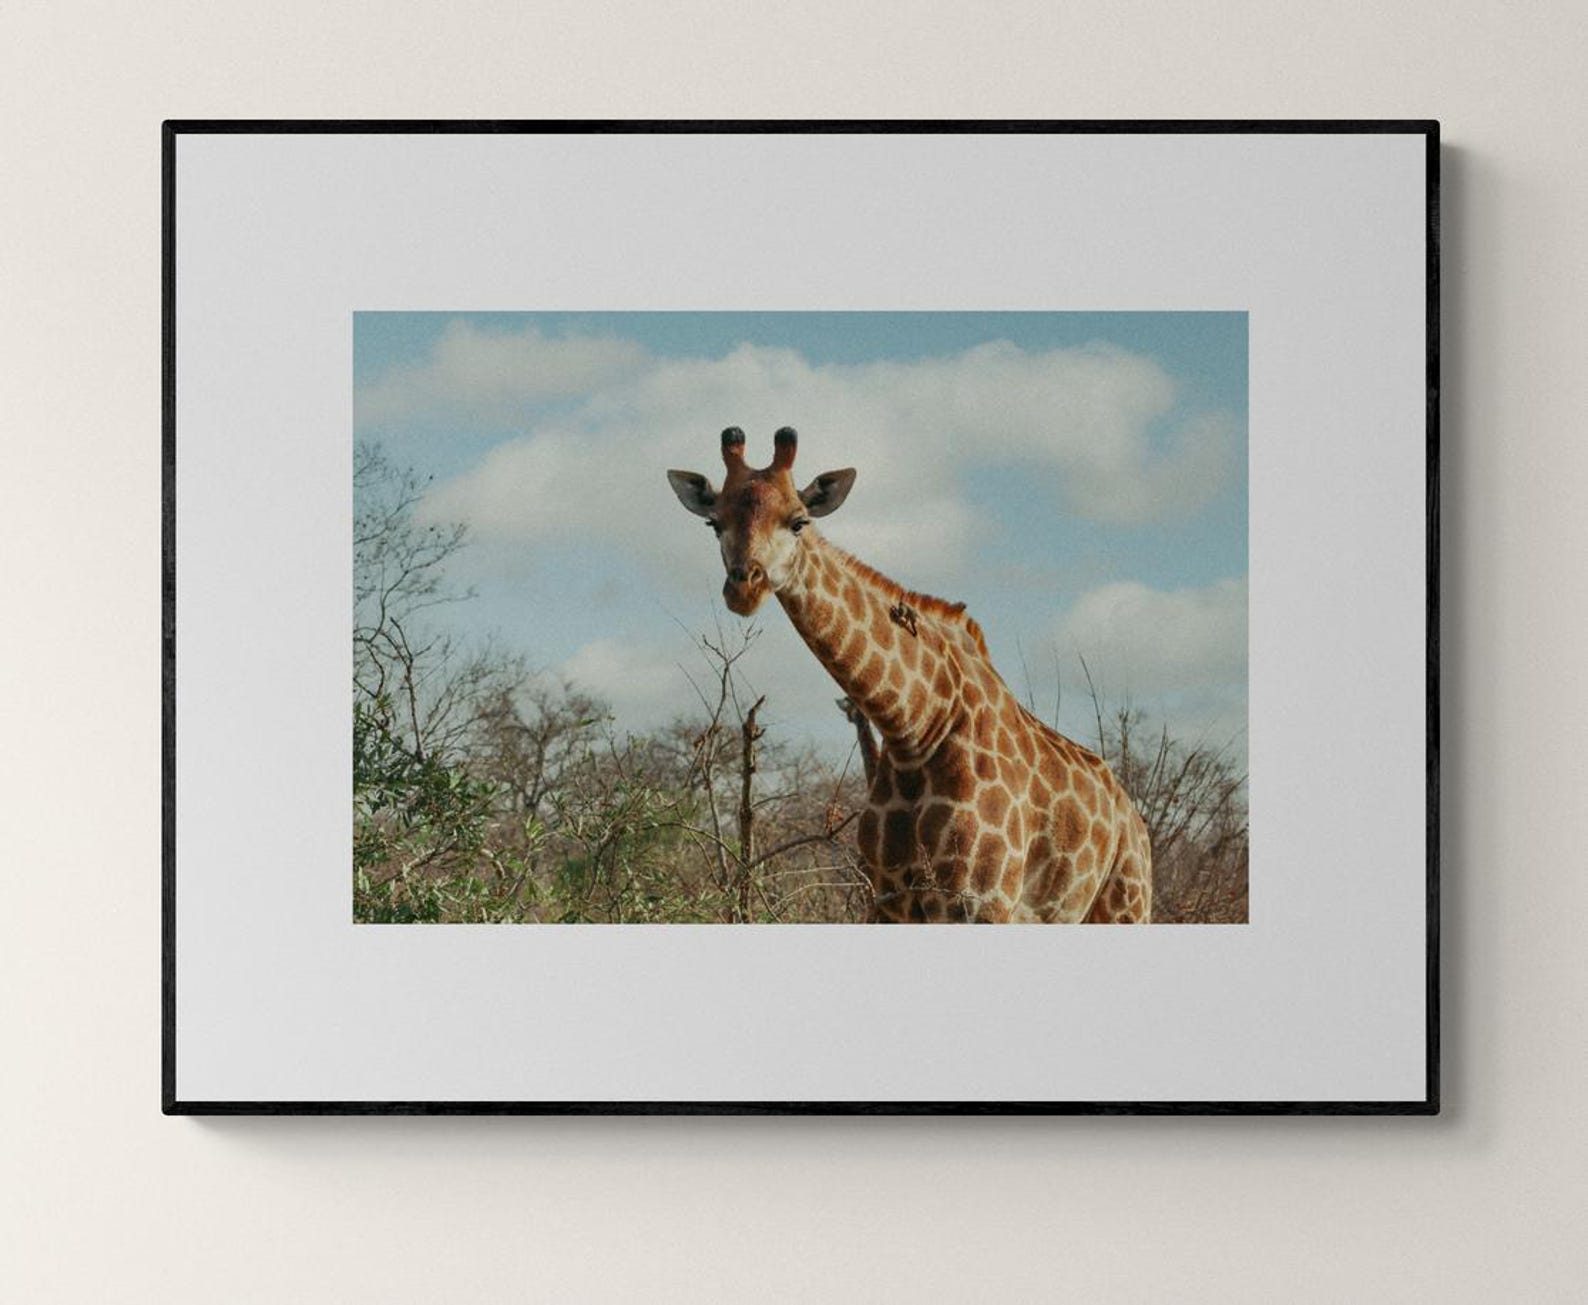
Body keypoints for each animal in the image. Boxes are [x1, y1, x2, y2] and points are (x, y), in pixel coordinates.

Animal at [667, 426, 1152, 924]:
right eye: (714, 523)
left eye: (798, 521)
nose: (745, 586)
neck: (916, 730)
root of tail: (1134, 821)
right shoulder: (887, 899)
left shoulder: (978, 902)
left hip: (1125, 906)